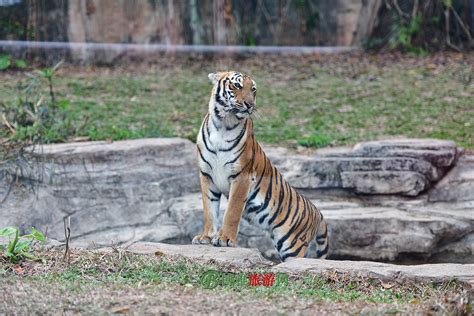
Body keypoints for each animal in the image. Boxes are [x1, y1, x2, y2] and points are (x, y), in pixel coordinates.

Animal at [191, 71, 328, 262]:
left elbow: (232, 211)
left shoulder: (242, 176)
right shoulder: (206, 175)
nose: (250, 105)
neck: (223, 125)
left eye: (253, 89)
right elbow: (209, 210)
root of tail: (317, 212)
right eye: (237, 86)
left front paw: (225, 239)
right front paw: (206, 237)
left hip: (291, 244)